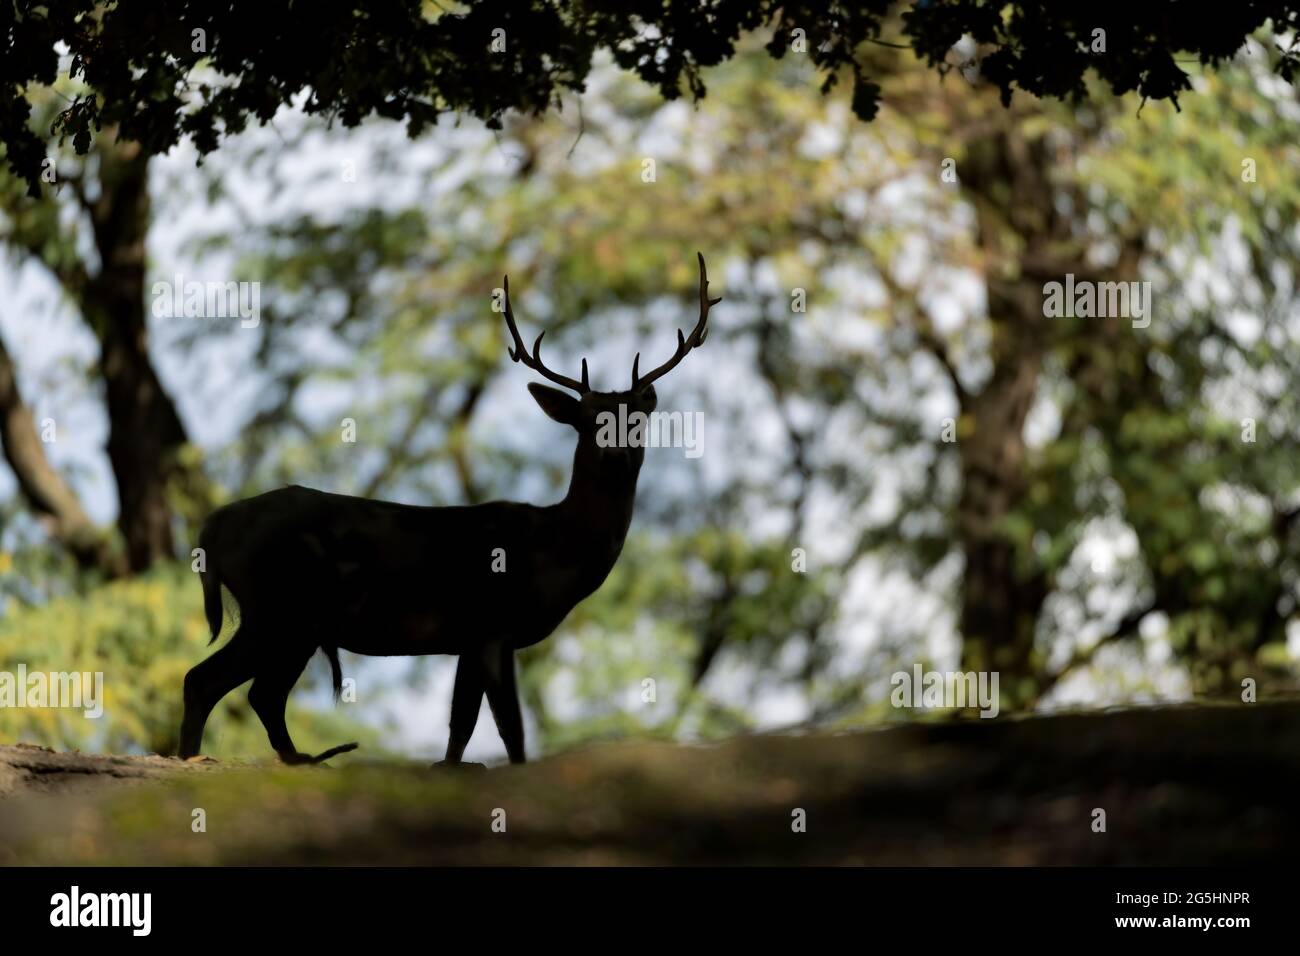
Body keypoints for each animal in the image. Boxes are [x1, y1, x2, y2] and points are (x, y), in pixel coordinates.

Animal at [178, 253, 720, 766]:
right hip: (279, 605)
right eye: (587, 422)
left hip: (287, 617)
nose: (615, 454)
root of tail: (212, 527)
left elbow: (460, 733)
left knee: (255, 694)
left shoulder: (469, 639)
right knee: (211, 682)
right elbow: (508, 731)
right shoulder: (491, 622)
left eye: (636, 419)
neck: (554, 549)